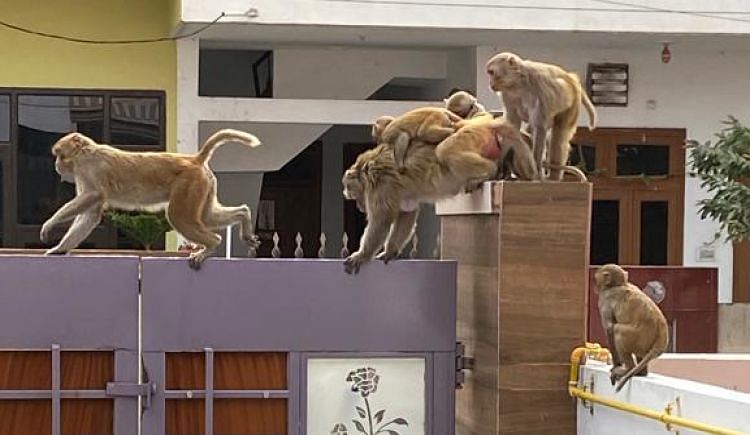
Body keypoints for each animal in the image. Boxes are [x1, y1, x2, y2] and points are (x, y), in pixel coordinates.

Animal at [40, 129, 263, 270]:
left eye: (59, 154)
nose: (56, 165)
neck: (85, 151)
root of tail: (194, 160)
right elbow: (91, 212)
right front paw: (59, 248)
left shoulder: (89, 167)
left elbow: (92, 195)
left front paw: (50, 224)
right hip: (203, 185)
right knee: (207, 217)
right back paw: (243, 217)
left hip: (189, 184)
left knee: (179, 217)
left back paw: (210, 245)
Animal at [341, 117, 537, 274]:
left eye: (353, 195)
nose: (359, 206)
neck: (366, 169)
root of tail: (487, 124)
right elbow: (407, 213)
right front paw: (389, 251)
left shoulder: (380, 186)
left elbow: (381, 220)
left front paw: (362, 255)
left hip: (468, 137)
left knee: (446, 150)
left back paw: (489, 171)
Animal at [486, 52, 597, 180]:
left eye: (491, 72)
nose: (490, 83)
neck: (517, 83)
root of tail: (571, 78)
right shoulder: (507, 94)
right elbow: (512, 125)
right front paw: (500, 164)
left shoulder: (540, 87)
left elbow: (540, 128)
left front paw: (536, 171)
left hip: (572, 104)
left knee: (558, 136)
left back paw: (553, 176)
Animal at [594, 264, 669, 392]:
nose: (595, 286)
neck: (620, 284)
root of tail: (662, 333)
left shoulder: (605, 299)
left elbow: (609, 328)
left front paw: (616, 365)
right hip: (644, 343)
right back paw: (640, 372)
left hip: (637, 336)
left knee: (617, 331)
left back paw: (628, 368)